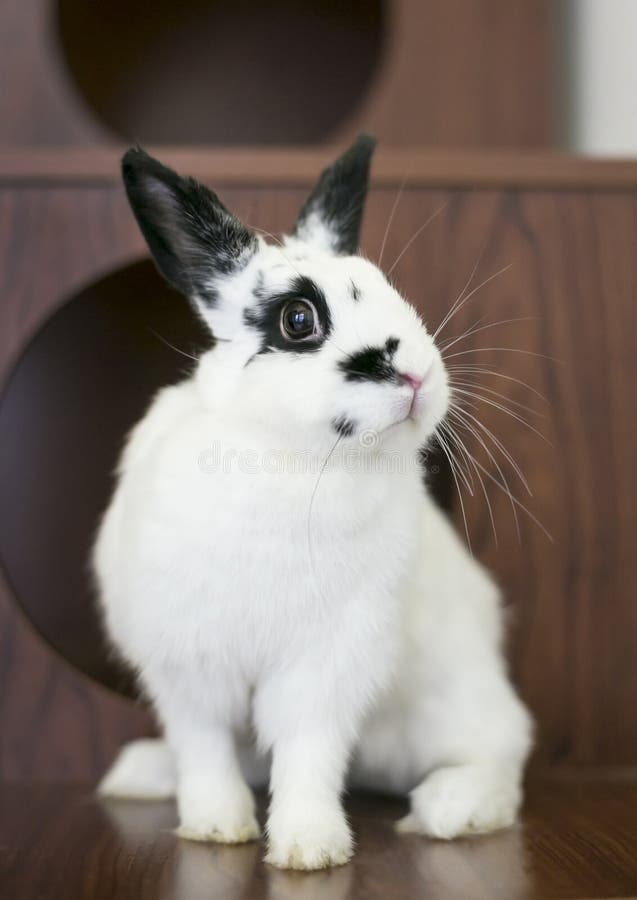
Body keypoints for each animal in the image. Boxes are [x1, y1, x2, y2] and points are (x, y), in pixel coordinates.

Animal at [94, 135, 532, 870]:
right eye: (298, 320)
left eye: (392, 292)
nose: (418, 375)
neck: (291, 458)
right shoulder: (187, 666)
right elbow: (205, 750)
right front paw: (215, 826)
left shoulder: (325, 664)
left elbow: (307, 753)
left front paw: (308, 848)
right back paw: (136, 774)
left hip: (455, 701)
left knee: (503, 753)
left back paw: (450, 810)